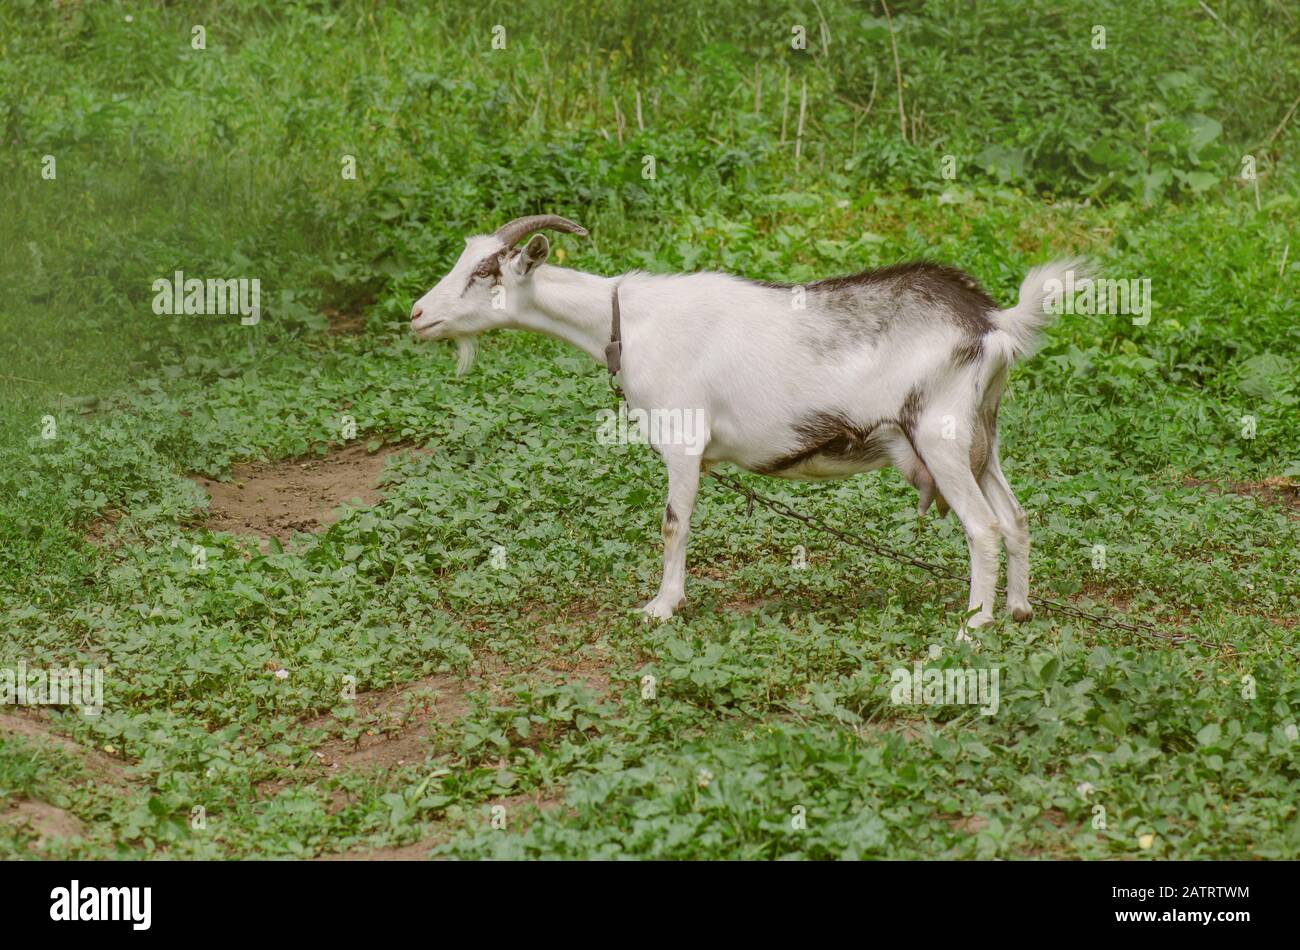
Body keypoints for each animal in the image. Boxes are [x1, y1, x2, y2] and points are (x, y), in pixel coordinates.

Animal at [411, 214, 1075, 636]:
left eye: (487, 273)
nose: (417, 315)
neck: (625, 322)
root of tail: (991, 321)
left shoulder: (682, 440)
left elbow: (673, 524)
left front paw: (661, 608)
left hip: (940, 436)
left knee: (984, 527)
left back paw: (974, 625)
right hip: (981, 439)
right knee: (1016, 518)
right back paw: (1018, 611)